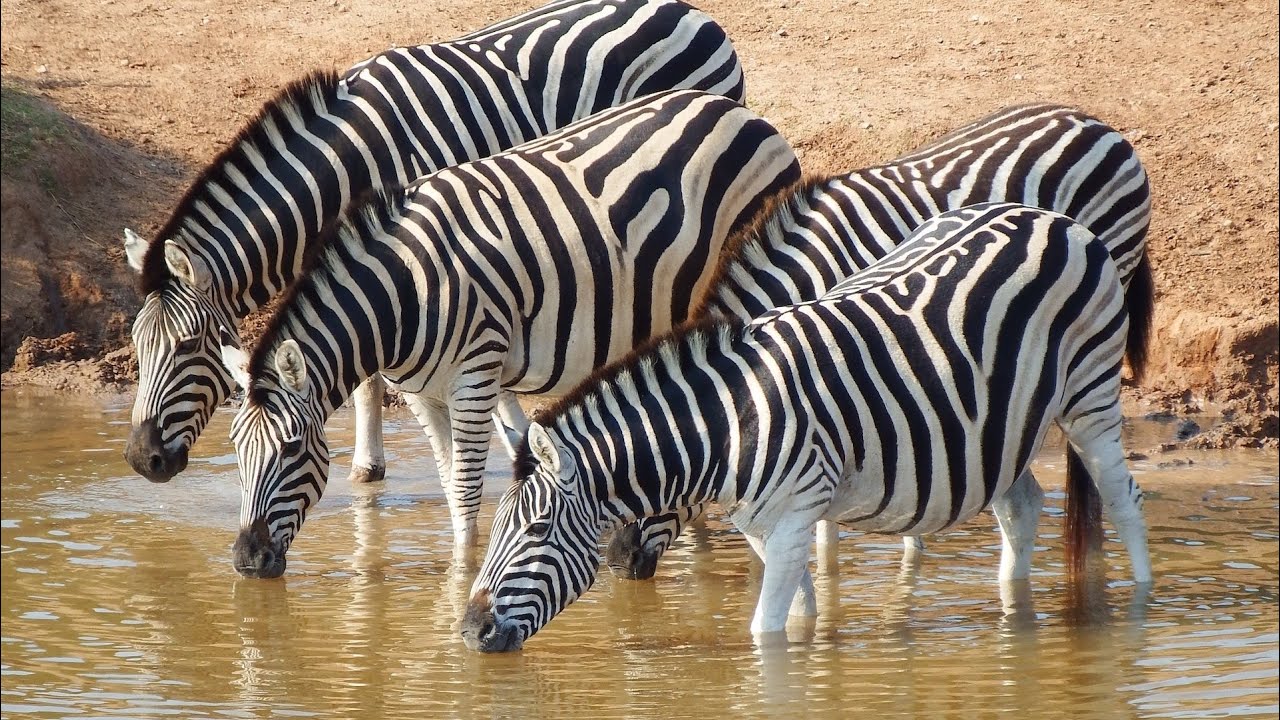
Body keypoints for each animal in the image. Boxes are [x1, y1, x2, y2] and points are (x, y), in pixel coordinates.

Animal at [120, 0, 748, 490]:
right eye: (137, 346)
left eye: (188, 346)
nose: (141, 461)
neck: (346, 167)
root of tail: (695, 13)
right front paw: (372, 465)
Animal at [218, 88, 801, 578]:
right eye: (236, 450)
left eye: (292, 449)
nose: (247, 559)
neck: (403, 294)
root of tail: (743, 113)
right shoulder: (422, 393)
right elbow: (450, 483)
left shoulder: (475, 376)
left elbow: (466, 489)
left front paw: (460, 577)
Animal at [460, 202, 1153, 652]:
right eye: (496, 529)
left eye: (538, 530)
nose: (469, 632)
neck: (727, 421)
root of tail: (1053, 218)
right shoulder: (765, 528)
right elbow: (797, 619)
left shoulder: (796, 515)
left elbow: (765, 632)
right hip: (1000, 429)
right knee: (1023, 506)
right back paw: (1014, 611)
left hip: (1090, 394)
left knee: (1122, 501)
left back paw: (1140, 609)